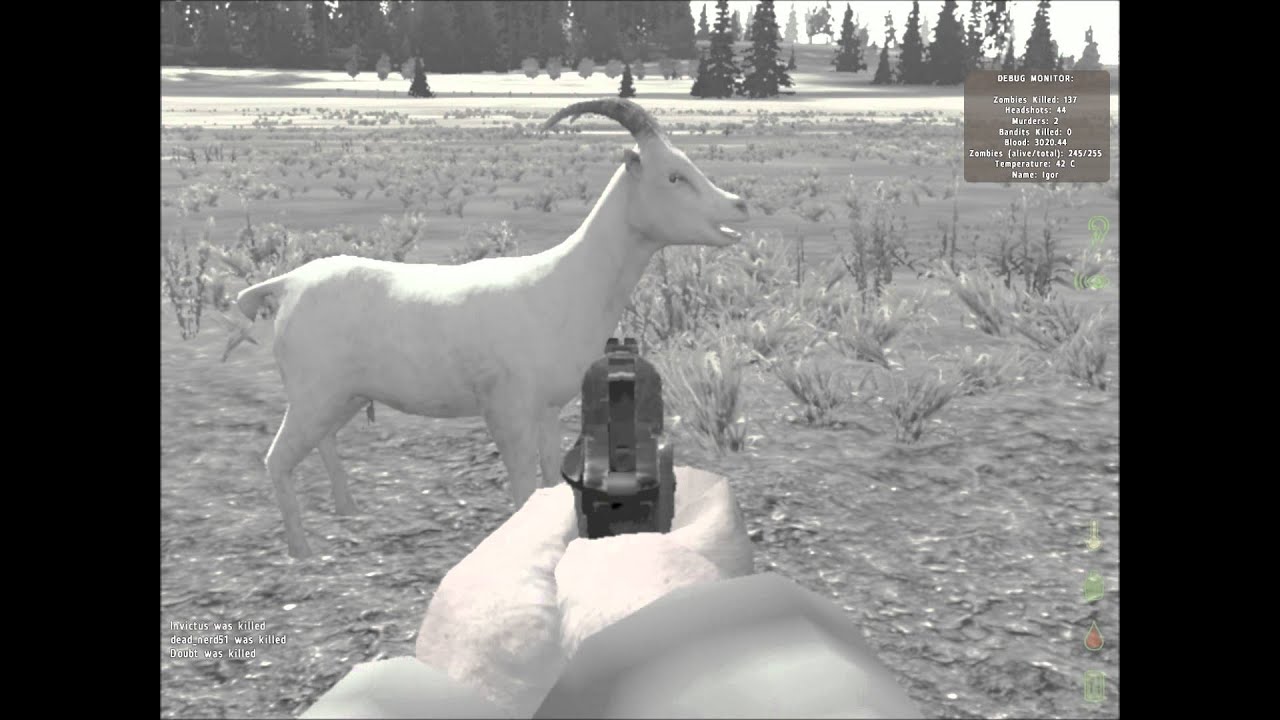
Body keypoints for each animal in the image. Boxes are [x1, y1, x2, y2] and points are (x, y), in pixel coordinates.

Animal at [236, 98, 750, 558]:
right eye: (674, 175)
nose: (739, 205)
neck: (562, 283)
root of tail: (288, 283)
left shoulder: (547, 411)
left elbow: (550, 478)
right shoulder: (507, 412)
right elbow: (523, 486)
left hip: (341, 399)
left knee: (322, 444)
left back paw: (349, 512)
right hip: (314, 398)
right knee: (277, 459)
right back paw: (302, 553)